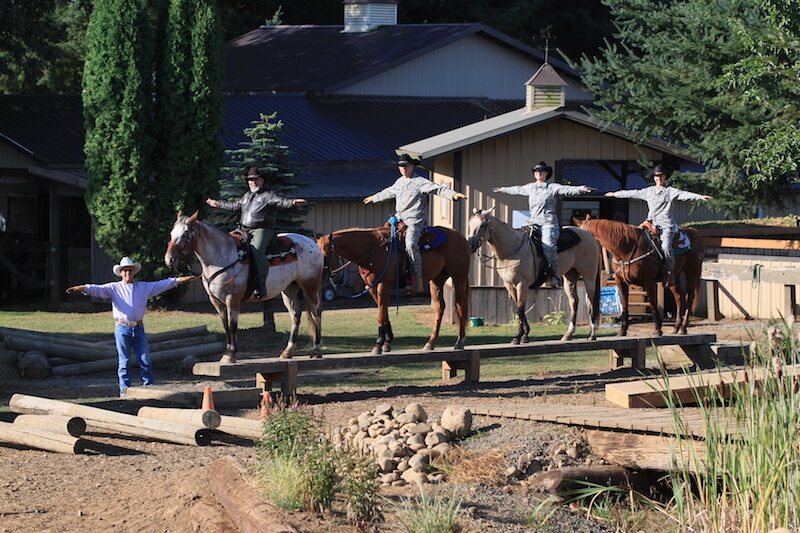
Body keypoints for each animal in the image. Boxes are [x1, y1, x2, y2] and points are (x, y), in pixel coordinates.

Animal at [164, 211, 323, 363]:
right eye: (172, 233)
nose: (169, 259)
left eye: (185, 233)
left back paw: (316, 350)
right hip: (289, 289)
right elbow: (226, 325)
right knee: (295, 315)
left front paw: (230, 354)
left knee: (316, 313)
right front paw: (228, 352)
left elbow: (233, 325)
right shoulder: (216, 301)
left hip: (310, 286)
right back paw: (287, 352)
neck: (221, 256)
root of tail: (312, 243)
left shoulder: (232, 299)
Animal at [317, 225, 471, 355]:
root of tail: (461, 238)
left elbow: (380, 314)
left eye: (325, 255)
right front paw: (387, 342)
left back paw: (459, 341)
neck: (372, 249)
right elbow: (383, 311)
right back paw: (430, 342)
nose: (321, 277)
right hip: (436, 280)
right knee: (440, 307)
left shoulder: (383, 285)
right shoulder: (372, 287)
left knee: (460, 306)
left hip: (459, 278)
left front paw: (378, 344)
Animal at [467, 207, 602, 344]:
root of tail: (591, 237)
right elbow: (519, 309)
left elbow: (520, 309)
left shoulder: (522, 284)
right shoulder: (509, 285)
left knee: (591, 302)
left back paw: (592, 334)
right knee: (574, 302)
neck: (512, 249)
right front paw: (524, 335)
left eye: (483, 225)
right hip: (570, 277)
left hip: (589, 277)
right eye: (470, 224)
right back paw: (568, 334)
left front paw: (519, 336)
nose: (471, 245)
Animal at [573, 214, 704, 336]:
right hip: (672, 278)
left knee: (690, 297)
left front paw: (658, 330)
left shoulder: (649, 281)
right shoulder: (620, 281)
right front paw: (622, 330)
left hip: (691, 271)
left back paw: (683, 328)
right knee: (679, 297)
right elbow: (624, 305)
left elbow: (653, 304)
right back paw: (676, 327)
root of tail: (694, 232)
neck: (626, 248)